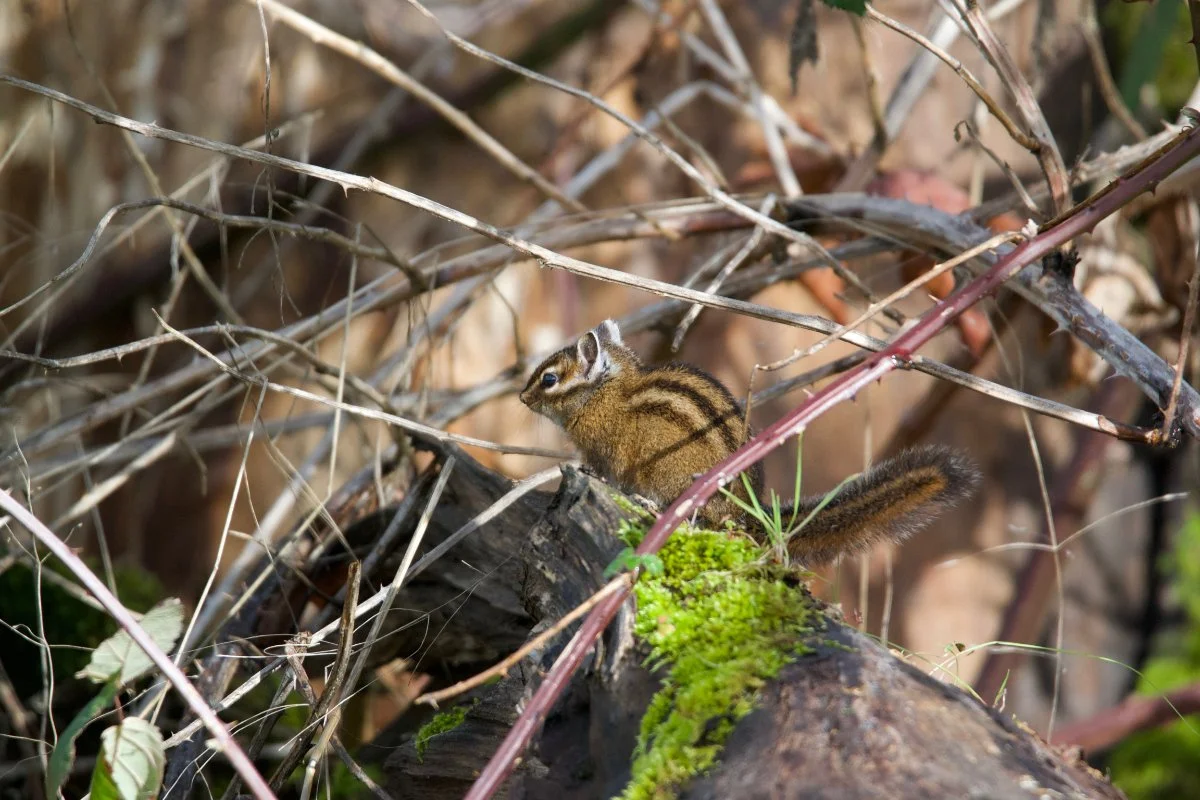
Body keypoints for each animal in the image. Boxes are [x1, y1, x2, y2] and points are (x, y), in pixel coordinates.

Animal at [519, 319, 980, 565]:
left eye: (549, 379)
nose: (521, 398)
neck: (607, 391)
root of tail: (745, 515)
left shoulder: (607, 449)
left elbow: (603, 469)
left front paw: (590, 474)